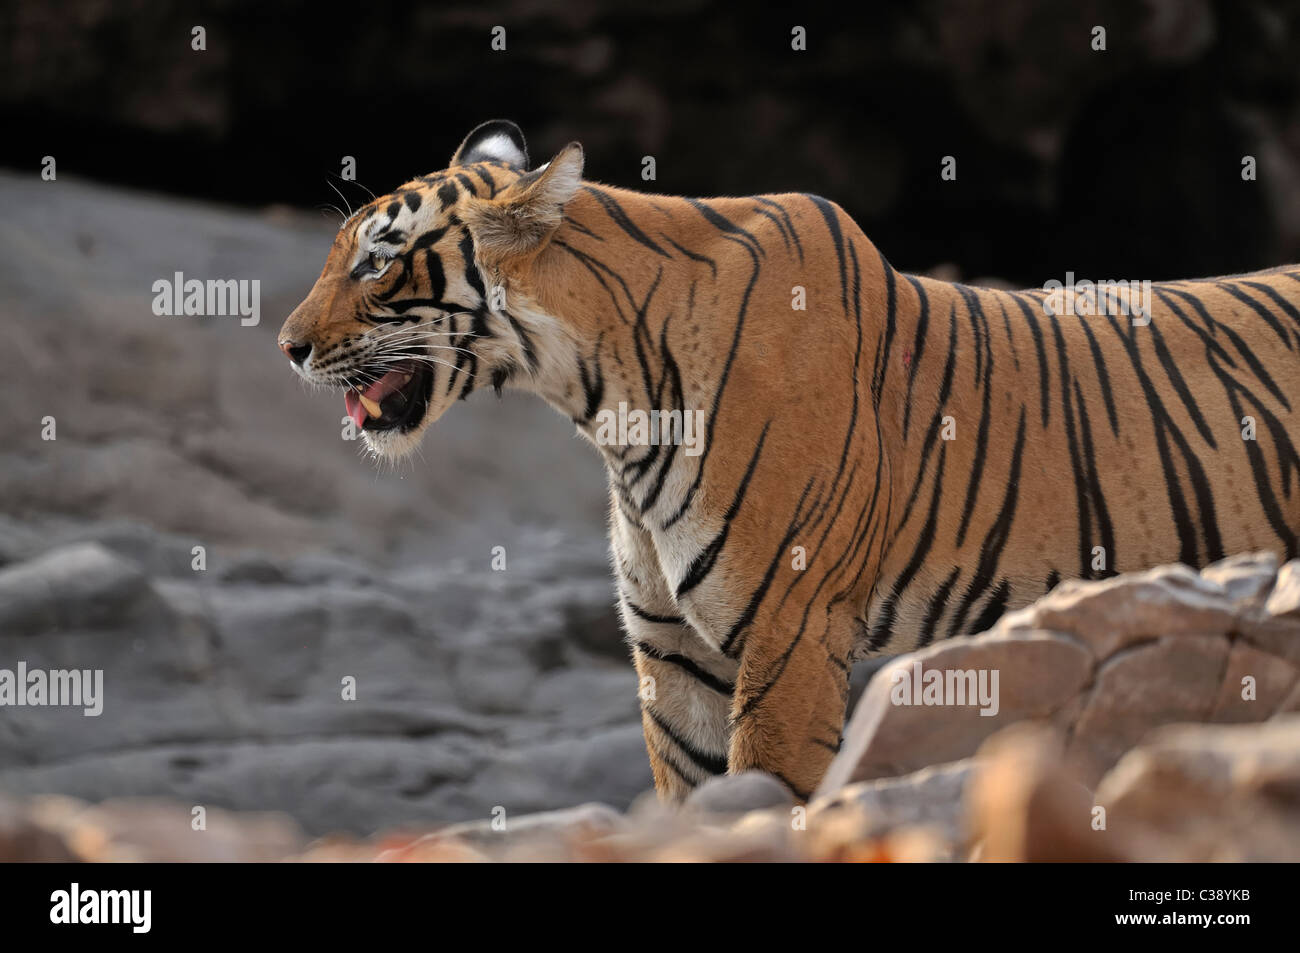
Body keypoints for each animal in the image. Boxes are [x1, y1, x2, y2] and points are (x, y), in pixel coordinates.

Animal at [278, 119, 1300, 801]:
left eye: (377, 262)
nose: (286, 347)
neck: (606, 408)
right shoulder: (673, 652)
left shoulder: (794, 629)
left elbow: (763, 793)